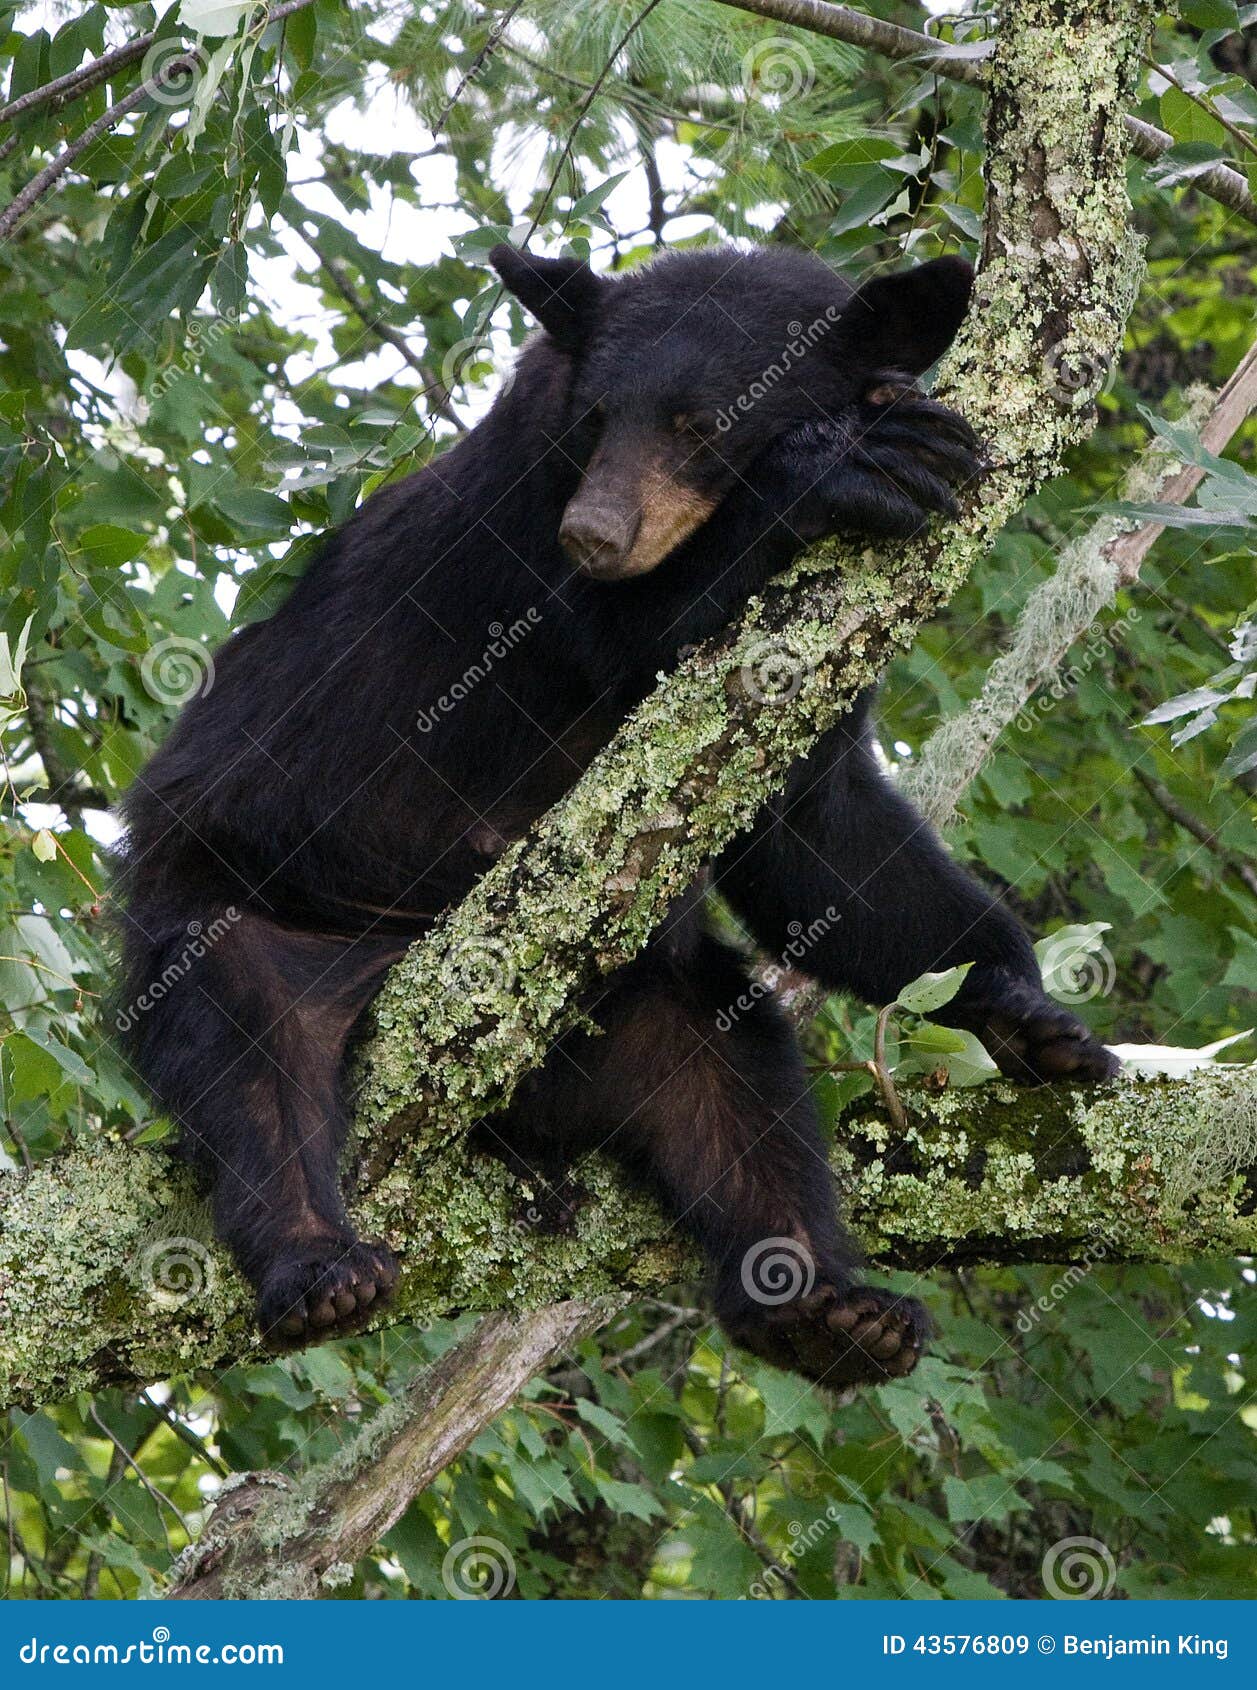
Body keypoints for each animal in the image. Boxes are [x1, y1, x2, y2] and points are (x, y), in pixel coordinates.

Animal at [117, 242, 1117, 1389]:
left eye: (699, 423)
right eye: (599, 417)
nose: (596, 531)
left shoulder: (838, 641)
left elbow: (821, 841)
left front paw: (1024, 1009)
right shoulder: (526, 517)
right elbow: (639, 639)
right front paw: (846, 464)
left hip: (645, 1008)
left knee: (740, 1089)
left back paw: (824, 1307)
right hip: (246, 900)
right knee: (247, 1052)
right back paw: (320, 1264)